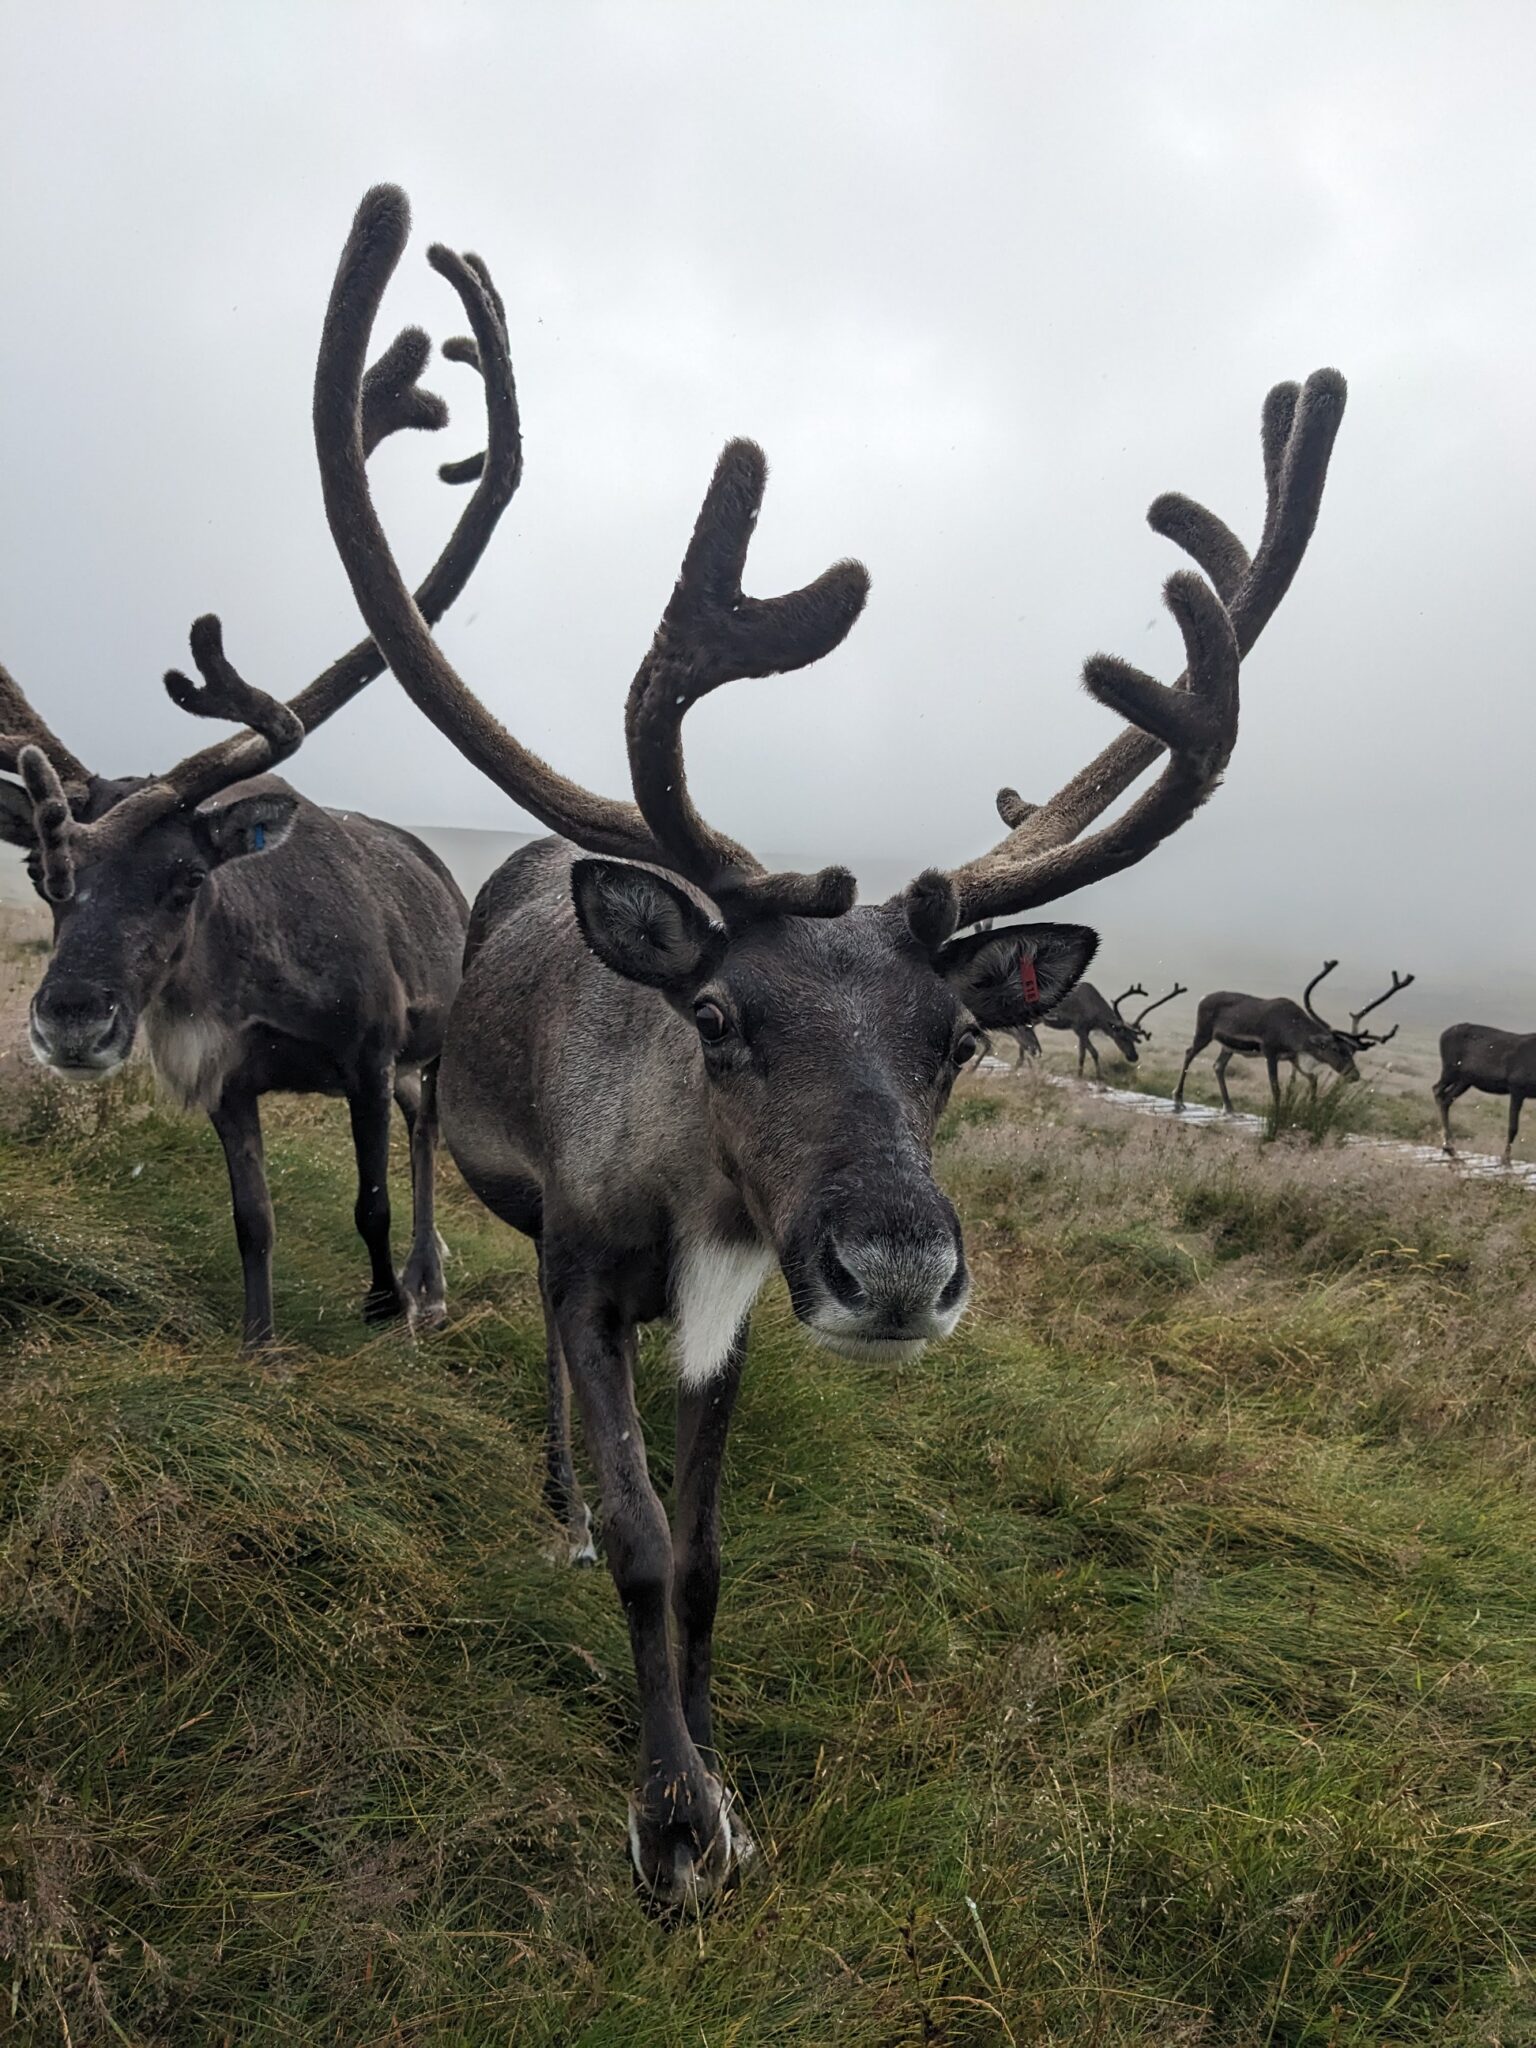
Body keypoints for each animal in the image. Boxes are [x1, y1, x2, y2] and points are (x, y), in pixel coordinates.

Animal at [0, 252, 521, 1348]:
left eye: (187, 877)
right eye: (42, 875)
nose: (71, 1020)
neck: (240, 975)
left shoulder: (368, 1050)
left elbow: (370, 1199)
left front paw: (384, 1303)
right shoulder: (229, 1081)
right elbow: (253, 1218)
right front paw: (257, 1339)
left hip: (434, 1042)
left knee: (423, 1135)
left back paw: (428, 1281)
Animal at [310, 184, 1346, 1909]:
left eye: (962, 1041)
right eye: (719, 1017)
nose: (899, 1270)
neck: (696, 1207)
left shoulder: (727, 1316)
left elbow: (708, 1551)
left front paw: (718, 1770)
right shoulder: (591, 1268)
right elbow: (642, 1536)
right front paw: (670, 1815)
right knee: (547, 1378)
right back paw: (553, 1502)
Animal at [1173, 962, 1413, 1113]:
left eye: (1352, 1051)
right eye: (1335, 1049)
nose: (1354, 1075)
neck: (1294, 1033)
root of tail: (1202, 998)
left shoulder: (1292, 1057)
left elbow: (1313, 1079)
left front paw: (1312, 1107)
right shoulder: (1270, 1051)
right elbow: (1277, 1088)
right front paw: (1278, 1115)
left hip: (1228, 1046)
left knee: (1218, 1066)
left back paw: (1229, 1107)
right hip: (1204, 1033)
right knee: (1189, 1053)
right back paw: (1179, 1099)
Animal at [1433, 1024, 1536, 1163]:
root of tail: (1443, 1035)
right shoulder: (1517, 1087)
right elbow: (1513, 1127)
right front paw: (1506, 1159)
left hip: (1465, 1080)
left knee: (1446, 1099)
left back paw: (1451, 1149)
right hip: (1450, 1069)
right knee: (1437, 1090)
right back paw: (1449, 1146)